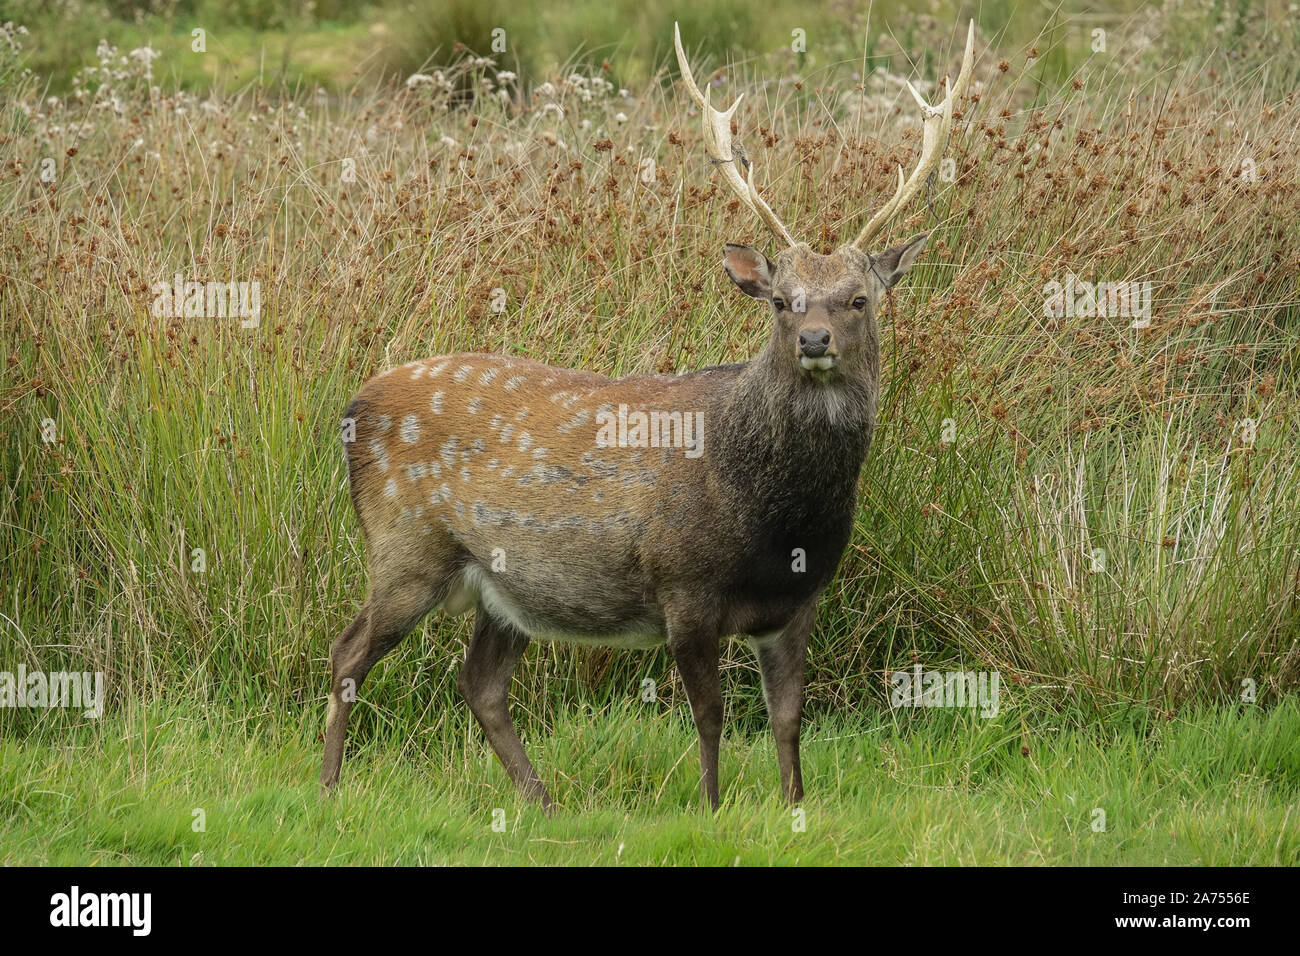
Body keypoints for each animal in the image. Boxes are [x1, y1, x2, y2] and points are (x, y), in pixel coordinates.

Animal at [321, 21, 974, 810]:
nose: (814, 339)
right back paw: (326, 787)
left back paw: (542, 801)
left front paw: (795, 806)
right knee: (348, 652)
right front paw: (713, 808)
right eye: (780, 301)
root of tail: (354, 404)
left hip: (503, 587)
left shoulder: (801, 599)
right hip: (405, 546)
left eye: (859, 299)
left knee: (479, 682)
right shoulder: (682, 588)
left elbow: (789, 717)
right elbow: (712, 713)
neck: (773, 517)